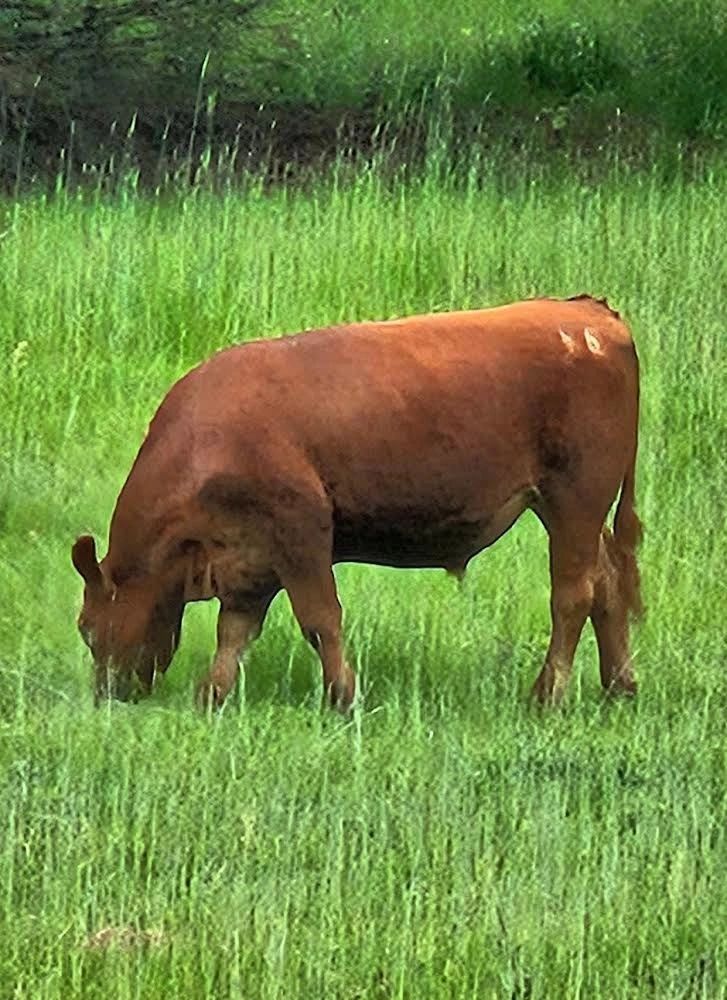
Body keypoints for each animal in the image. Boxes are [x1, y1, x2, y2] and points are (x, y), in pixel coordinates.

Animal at [71, 295, 642, 710]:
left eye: (86, 629)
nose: (106, 695)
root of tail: (589, 313)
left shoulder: (300, 530)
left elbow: (320, 619)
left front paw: (342, 696)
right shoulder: (249, 555)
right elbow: (234, 631)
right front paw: (212, 695)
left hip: (576, 496)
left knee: (572, 595)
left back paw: (547, 694)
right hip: (570, 508)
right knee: (609, 581)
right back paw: (619, 685)